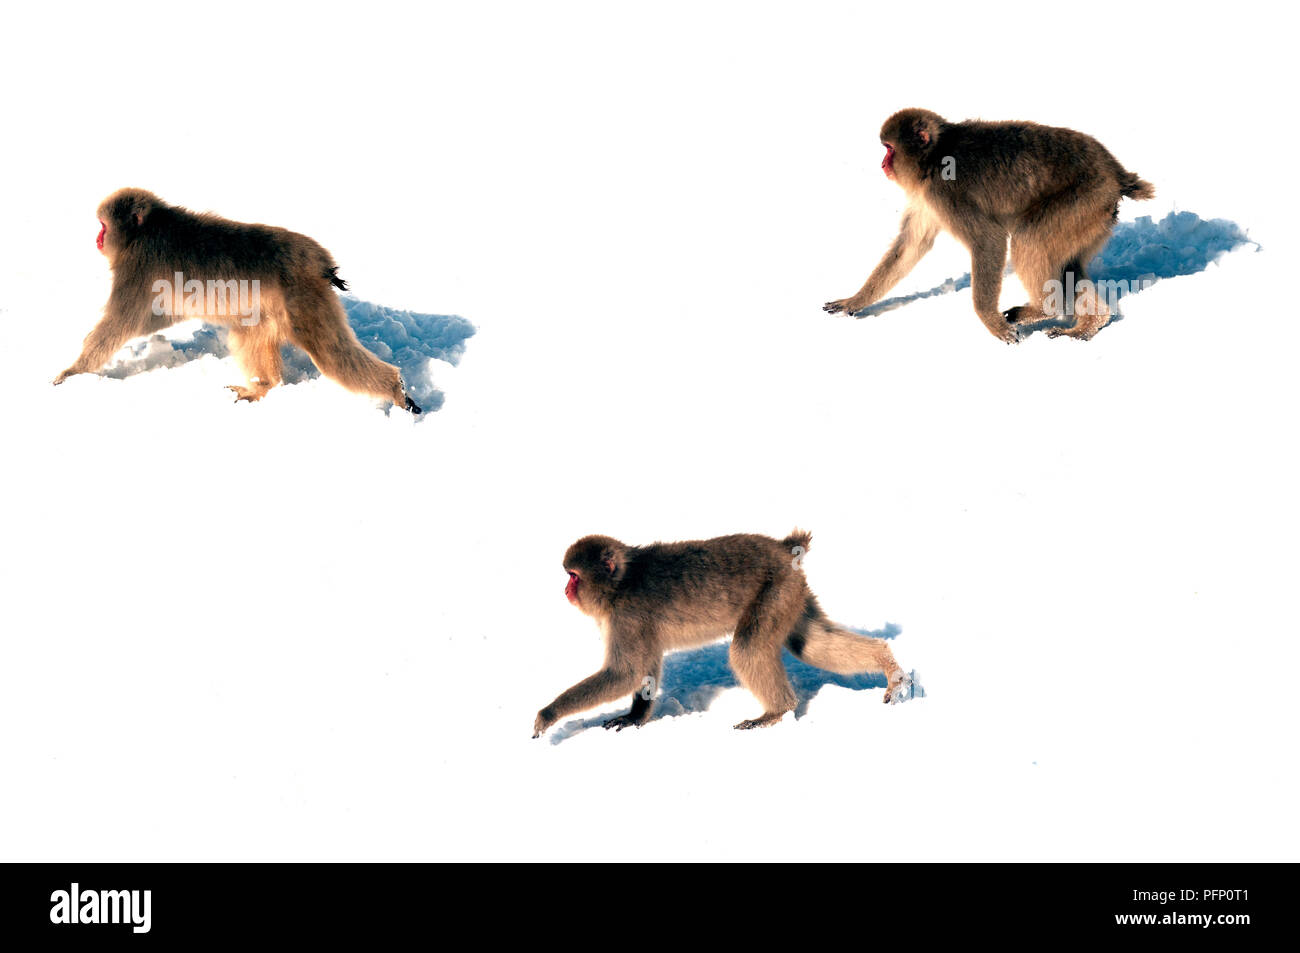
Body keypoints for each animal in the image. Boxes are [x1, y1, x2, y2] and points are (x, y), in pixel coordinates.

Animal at [54, 188, 421, 412]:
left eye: (103, 225)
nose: (98, 238)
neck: (146, 231)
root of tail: (319, 263)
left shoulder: (138, 267)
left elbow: (120, 324)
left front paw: (72, 372)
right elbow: (157, 317)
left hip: (303, 300)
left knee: (334, 355)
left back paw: (394, 389)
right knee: (249, 336)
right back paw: (262, 386)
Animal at [532, 530, 910, 737]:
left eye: (573, 576)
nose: (565, 590)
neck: (620, 584)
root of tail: (783, 548)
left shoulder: (626, 617)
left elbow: (625, 673)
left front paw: (549, 714)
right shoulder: (635, 625)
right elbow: (643, 671)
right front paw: (635, 717)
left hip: (774, 590)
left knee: (747, 649)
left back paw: (777, 712)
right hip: (791, 591)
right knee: (810, 643)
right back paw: (887, 664)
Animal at [823, 109, 1154, 342]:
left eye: (889, 149)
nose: (882, 165)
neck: (934, 158)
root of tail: (1114, 172)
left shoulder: (946, 191)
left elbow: (988, 239)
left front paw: (991, 322)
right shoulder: (928, 198)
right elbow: (911, 246)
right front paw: (855, 301)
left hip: (1082, 200)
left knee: (1028, 240)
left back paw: (1043, 310)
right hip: (1093, 215)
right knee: (1067, 265)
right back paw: (1088, 325)